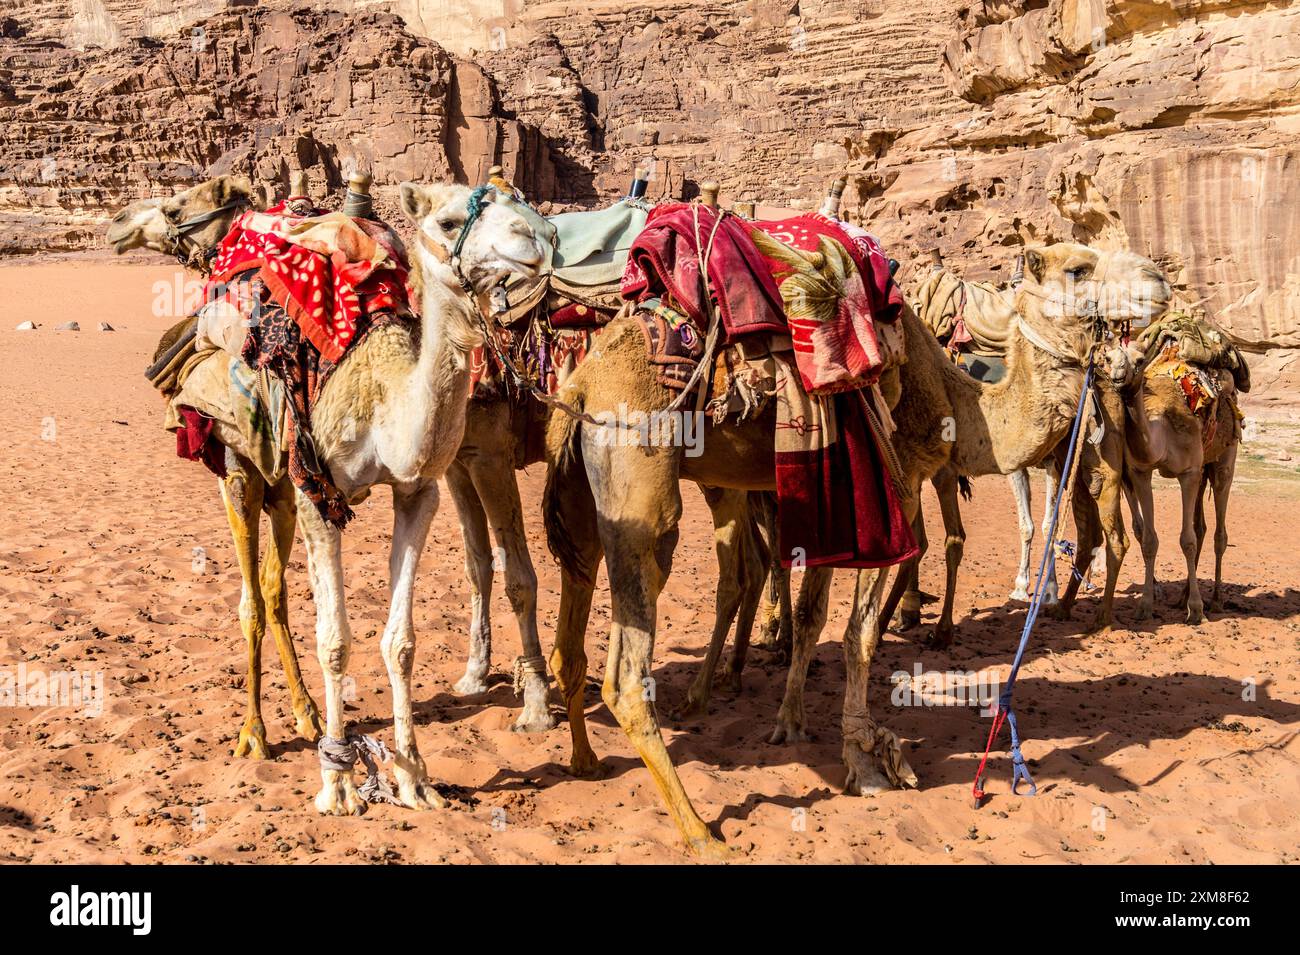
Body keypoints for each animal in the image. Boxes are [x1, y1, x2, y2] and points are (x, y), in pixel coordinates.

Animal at [539, 239, 1168, 855]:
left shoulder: (830, 490)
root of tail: (581, 384)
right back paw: (698, 829)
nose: (1159, 281)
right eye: (1079, 267)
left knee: (578, 617)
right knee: (626, 674)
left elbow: (811, 616)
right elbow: (859, 634)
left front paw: (790, 722)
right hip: (640, 472)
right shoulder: (898, 486)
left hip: (585, 489)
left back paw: (590, 762)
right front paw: (866, 764)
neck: (954, 401)